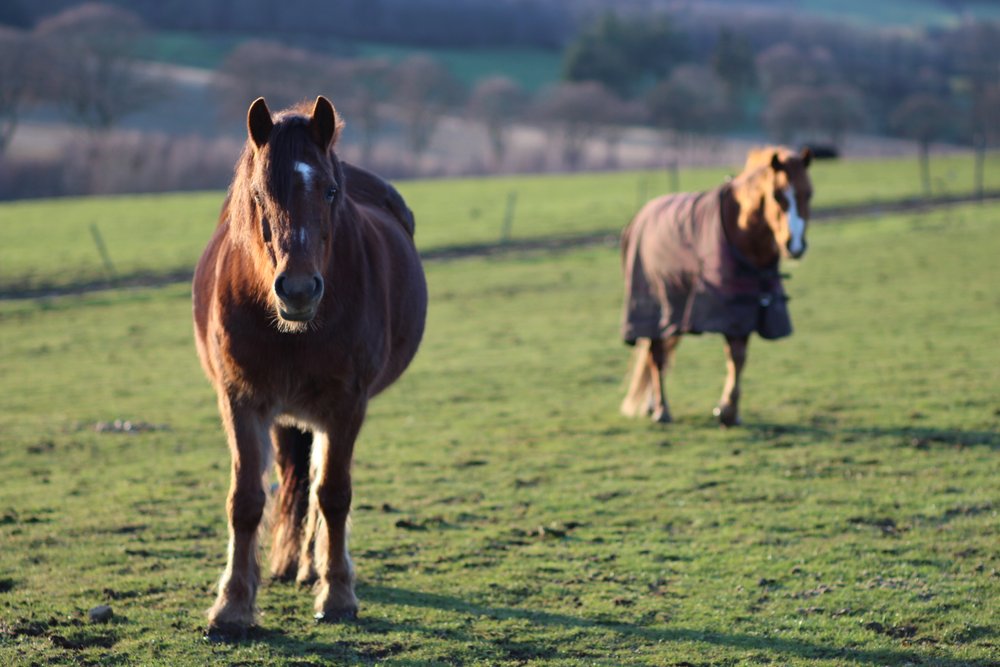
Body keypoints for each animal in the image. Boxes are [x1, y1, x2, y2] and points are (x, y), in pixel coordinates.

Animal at [192, 96, 427, 638]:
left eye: (330, 191)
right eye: (260, 193)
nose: (298, 290)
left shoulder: (345, 405)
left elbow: (334, 493)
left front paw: (337, 594)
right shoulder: (241, 401)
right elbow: (245, 500)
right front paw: (232, 606)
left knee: (315, 483)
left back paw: (312, 569)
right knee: (291, 477)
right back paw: (289, 565)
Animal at [619, 146, 812, 427]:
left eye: (808, 193)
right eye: (777, 195)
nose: (794, 245)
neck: (743, 236)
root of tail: (639, 218)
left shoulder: (749, 308)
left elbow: (739, 357)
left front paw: (731, 411)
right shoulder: (729, 311)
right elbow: (735, 354)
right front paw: (726, 410)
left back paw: (653, 404)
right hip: (654, 307)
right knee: (657, 355)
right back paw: (662, 410)